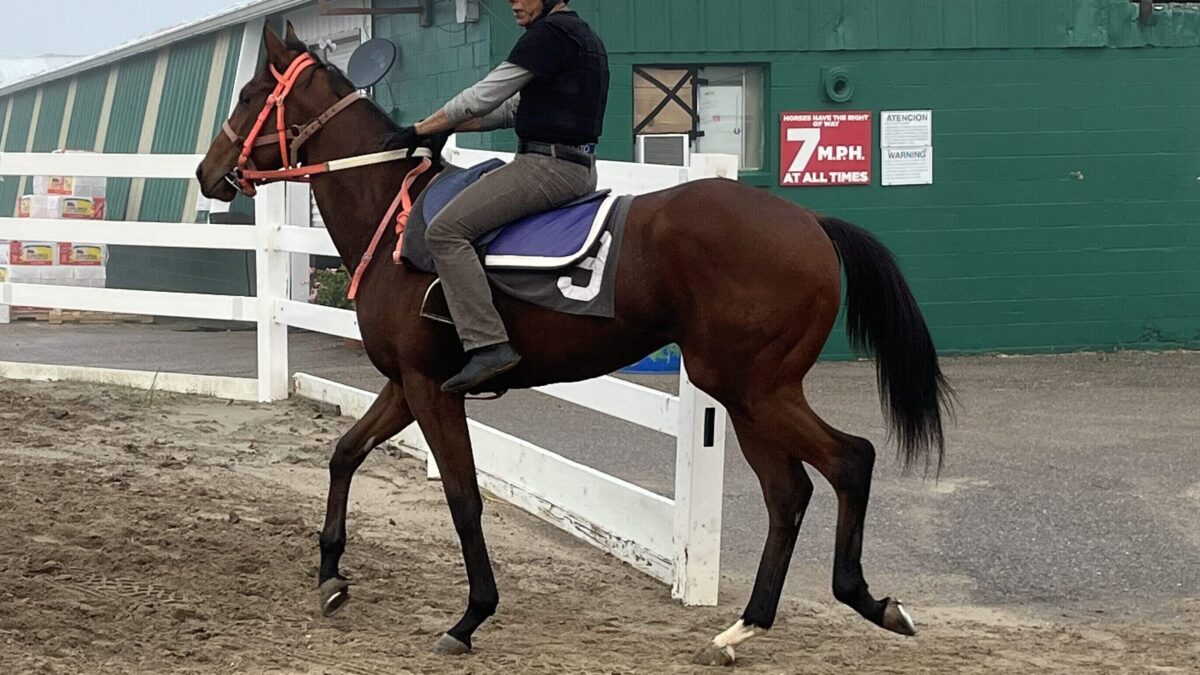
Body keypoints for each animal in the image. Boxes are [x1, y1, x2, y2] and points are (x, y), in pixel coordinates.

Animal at [197, 23, 953, 666]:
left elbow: (463, 497)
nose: (207, 173)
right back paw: (747, 625)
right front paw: (330, 572)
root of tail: (810, 222)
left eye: (248, 95)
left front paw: (470, 616)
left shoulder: (429, 388)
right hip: (748, 394)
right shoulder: (404, 385)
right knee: (788, 492)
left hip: (753, 388)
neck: (395, 217)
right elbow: (345, 453)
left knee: (850, 460)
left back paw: (867, 601)